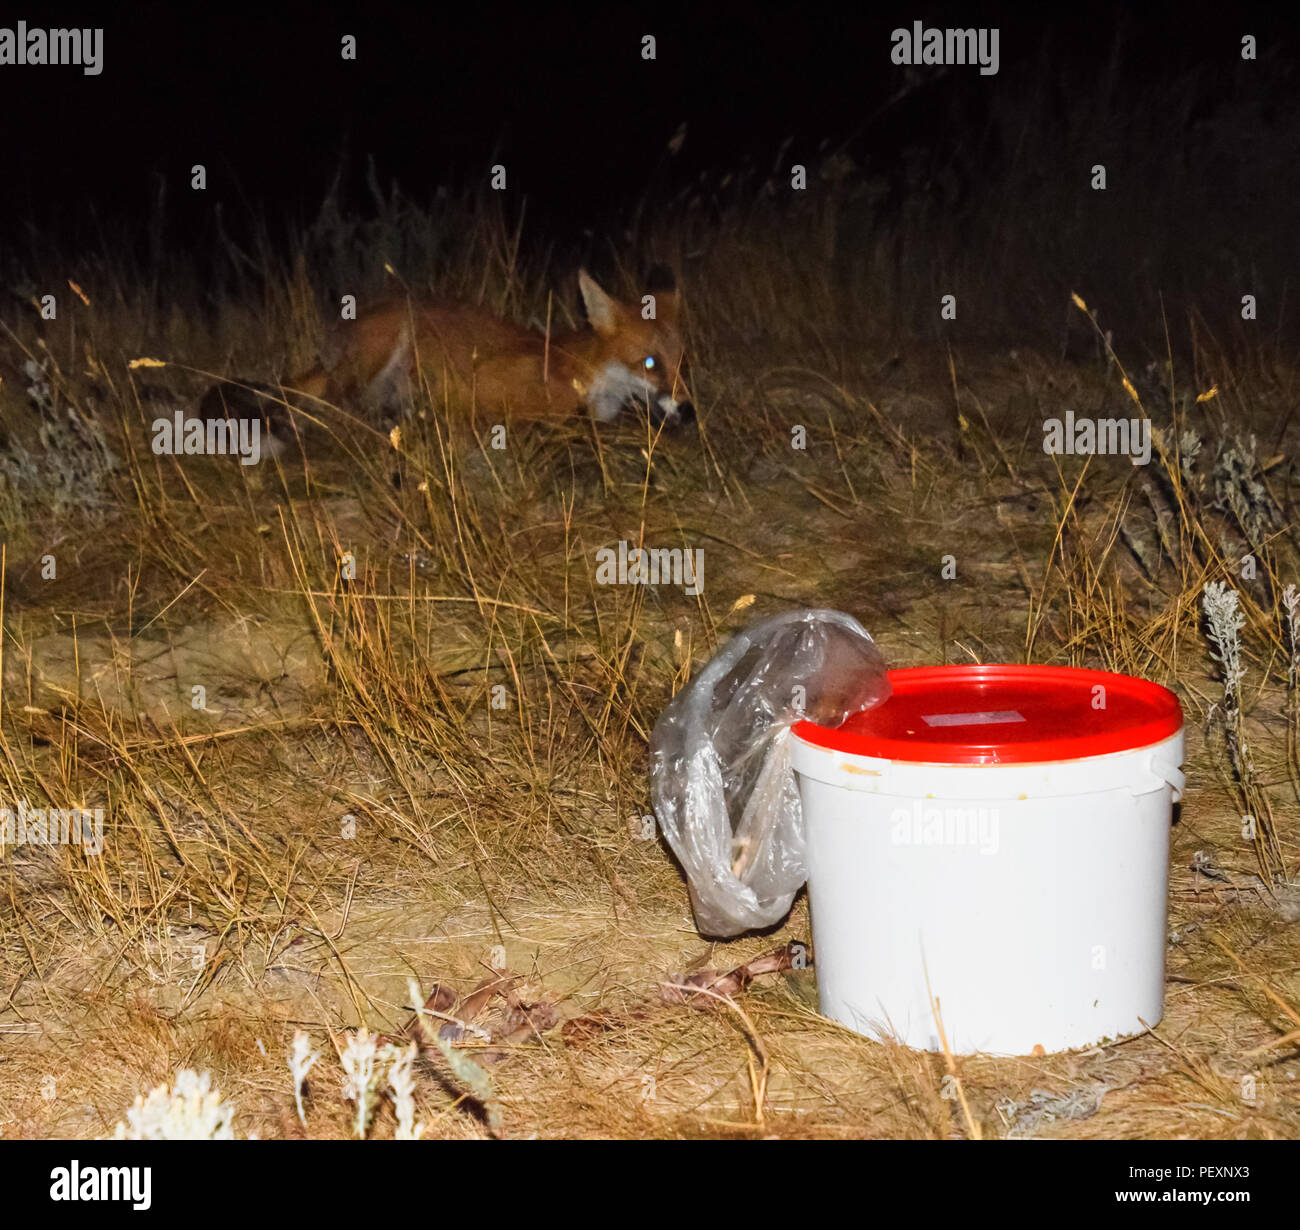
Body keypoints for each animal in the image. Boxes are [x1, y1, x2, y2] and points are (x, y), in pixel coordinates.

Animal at [200, 267, 694, 447]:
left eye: (682, 363)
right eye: (651, 363)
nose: (689, 412)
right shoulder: (489, 392)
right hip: (374, 357)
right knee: (326, 406)